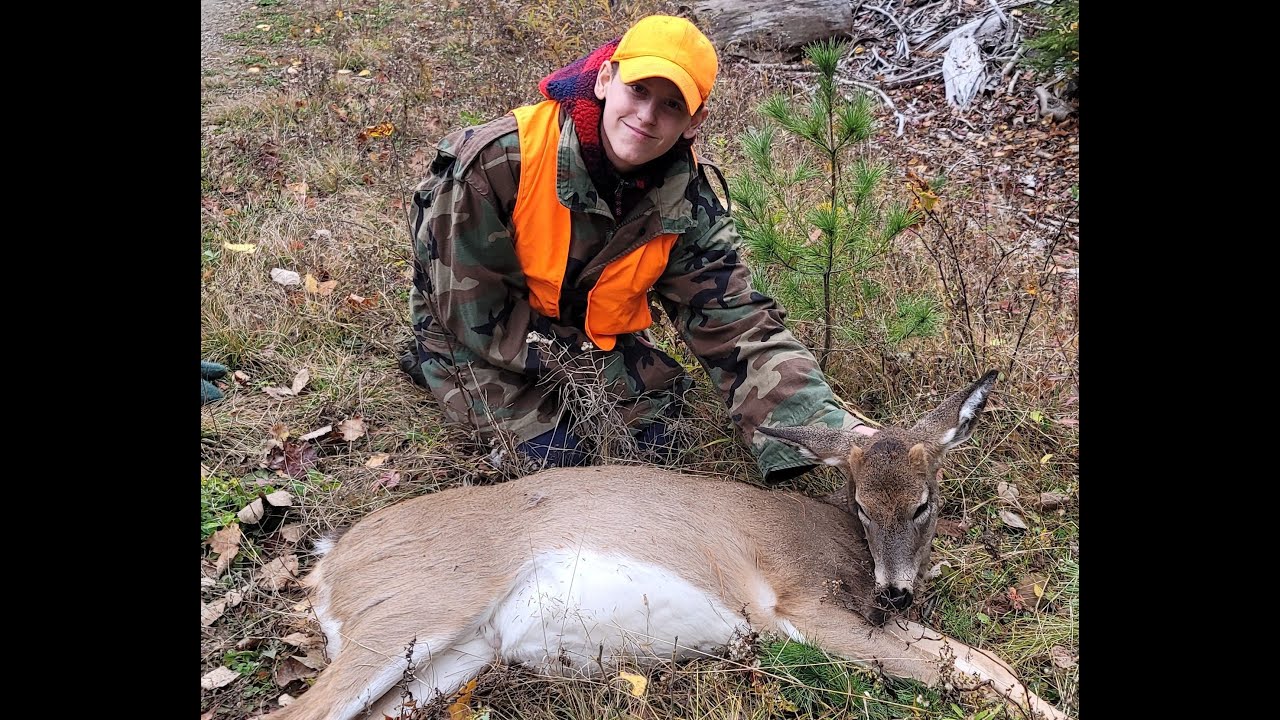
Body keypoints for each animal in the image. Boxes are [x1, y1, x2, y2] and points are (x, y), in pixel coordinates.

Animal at [269, 371, 1067, 720]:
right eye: (864, 506)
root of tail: (330, 561)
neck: (844, 552)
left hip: (455, 654)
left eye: (924, 504)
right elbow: (955, 675)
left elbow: (987, 663)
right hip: (414, 608)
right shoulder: (797, 607)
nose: (896, 590)